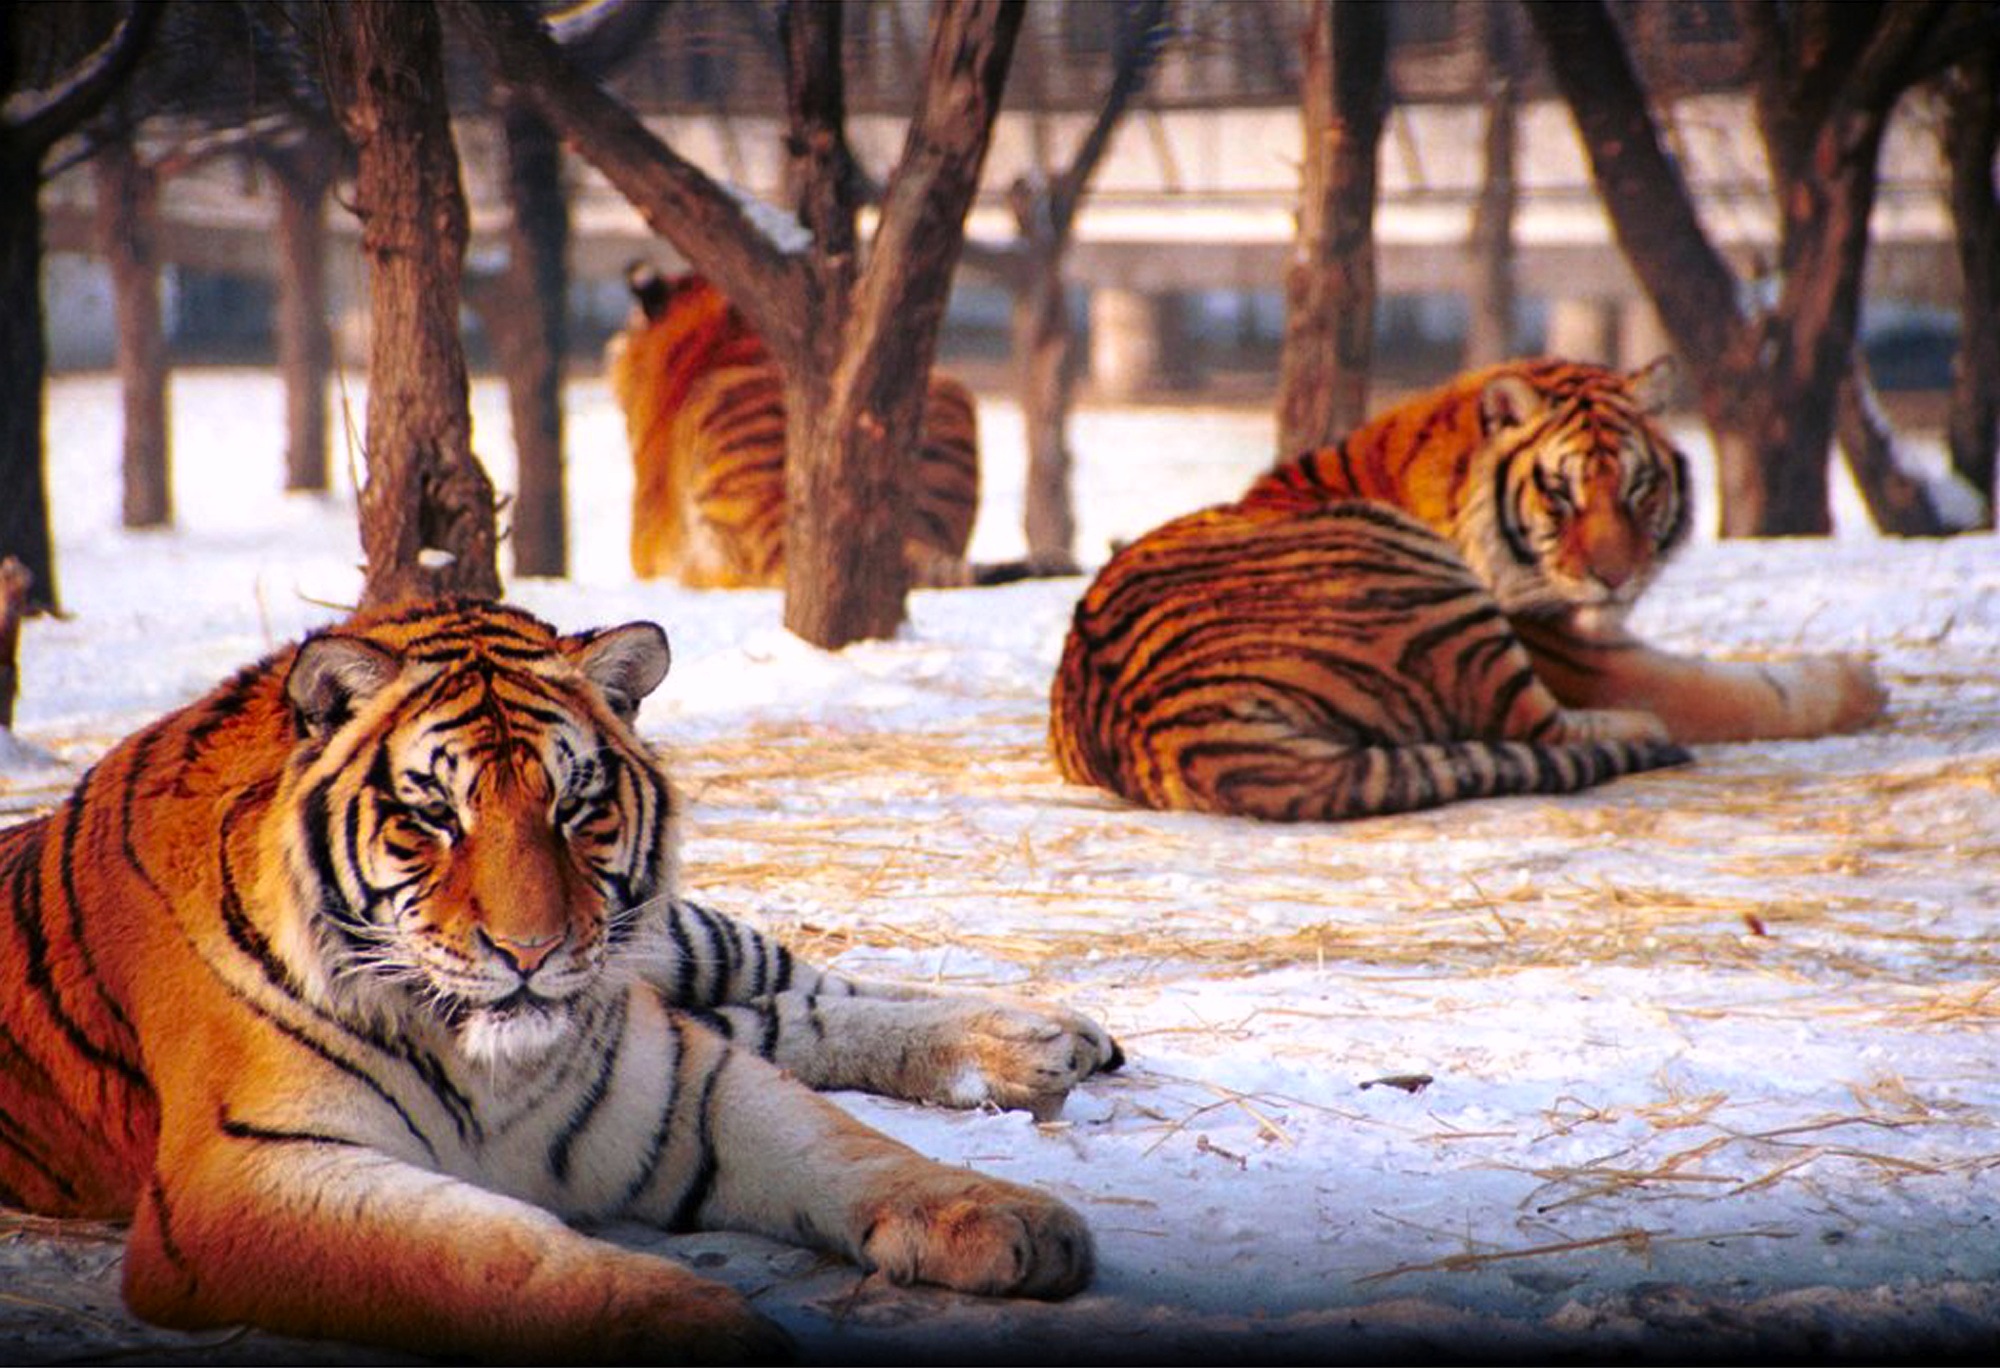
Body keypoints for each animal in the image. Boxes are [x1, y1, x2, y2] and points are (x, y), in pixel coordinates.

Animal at [0, 599, 1121, 1361]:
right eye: (432, 815)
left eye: (576, 807)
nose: (529, 952)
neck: (480, 1060)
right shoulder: (244, 1175)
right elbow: (485, 1248)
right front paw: (691, 1328)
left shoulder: (685, 1086)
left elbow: (846, 1148)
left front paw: (1009, 1219)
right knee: (777, 1013)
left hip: (676, 944)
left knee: (801, 986)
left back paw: (1047, 1041)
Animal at [1049, 357, 1886, 823]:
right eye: (1562, 493)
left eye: (1639, 487)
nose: (1615, 577)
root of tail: (1181, 731)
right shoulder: (1590, 659)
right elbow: (1741, 690)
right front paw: (1861, 684)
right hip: (1438, 602)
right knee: (1545, 729)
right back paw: (1643, 728)